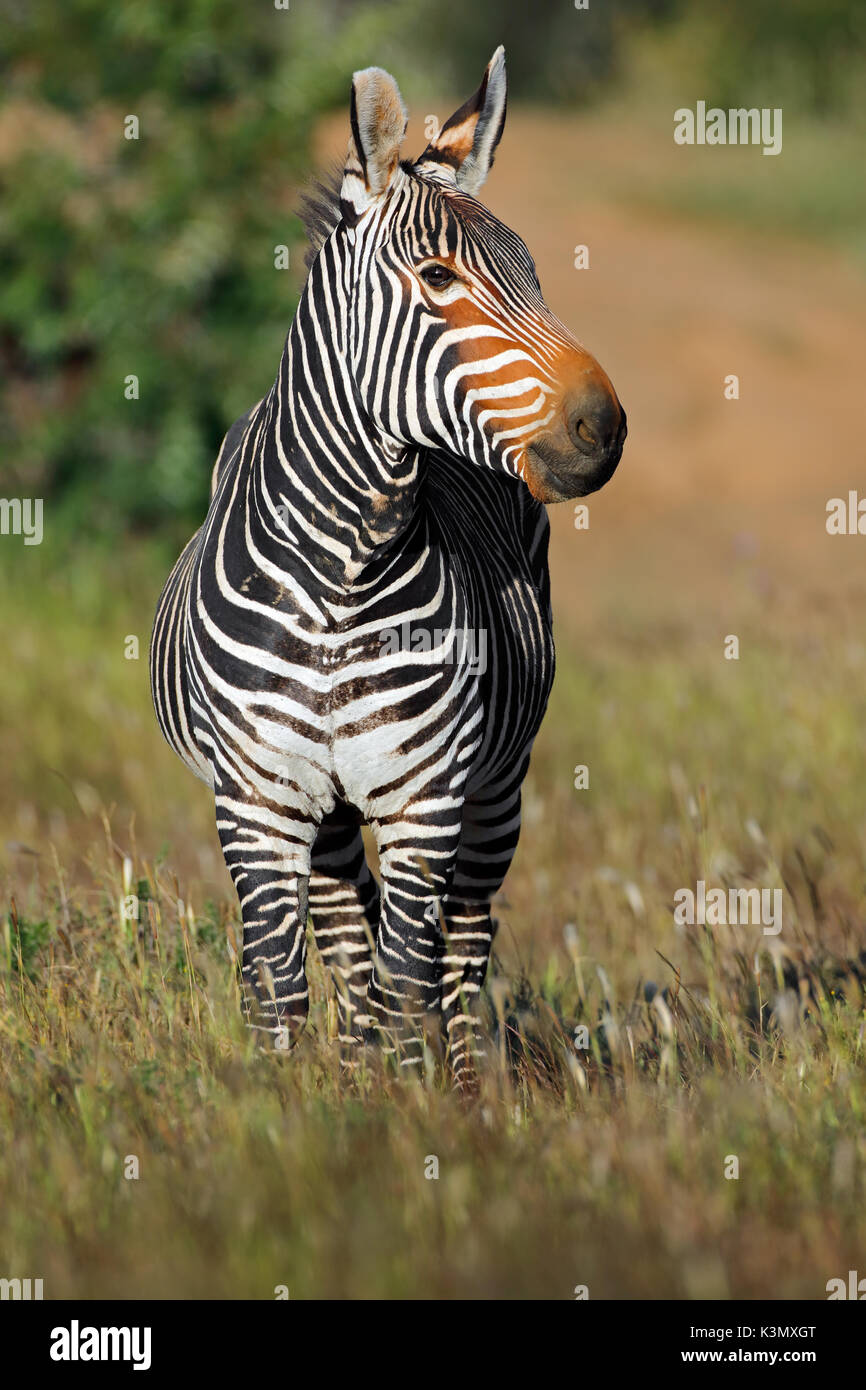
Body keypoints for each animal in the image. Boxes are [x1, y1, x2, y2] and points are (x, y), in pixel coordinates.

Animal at [150, 47, 626, 1093]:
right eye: (438, 277)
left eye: (534, 272)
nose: (604, 428)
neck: (343, 568)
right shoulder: (257, 801)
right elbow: (284, 987)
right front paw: (294, 1115)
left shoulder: (425, 799)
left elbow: (413, 978)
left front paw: (413, 1121)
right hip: (326, 813)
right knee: (347, 941)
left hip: (498, 788)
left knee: (458, 955)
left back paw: (461, 1092)